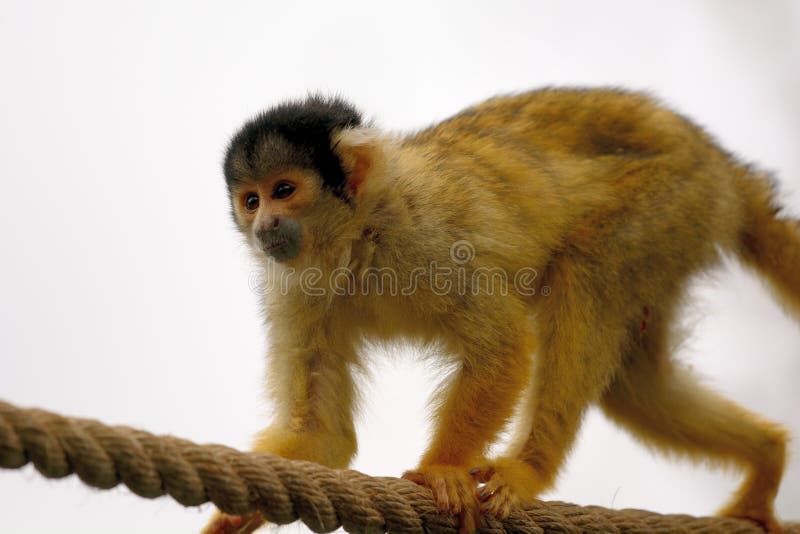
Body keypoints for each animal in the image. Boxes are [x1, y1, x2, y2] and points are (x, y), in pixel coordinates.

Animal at [202, 89, 798, 533]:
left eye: (284, 190)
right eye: (250, 200)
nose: (264, 226)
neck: (357, 239)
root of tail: (718, 162)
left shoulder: (426, 236)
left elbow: (504, 345)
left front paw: (440, 470)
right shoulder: (294, 290)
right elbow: (322, 434)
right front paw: (232, 518)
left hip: (673, 198)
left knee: (588, 271)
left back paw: (529, 468)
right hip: (682, 226)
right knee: (633, 383)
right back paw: (767, 456)